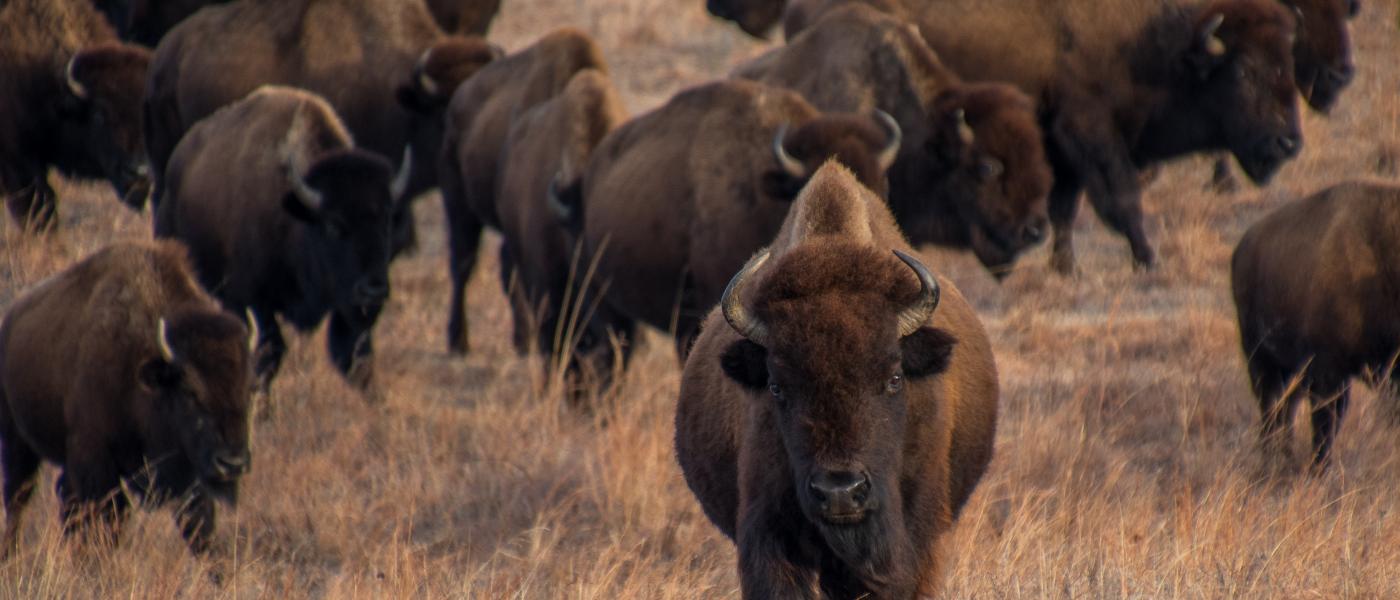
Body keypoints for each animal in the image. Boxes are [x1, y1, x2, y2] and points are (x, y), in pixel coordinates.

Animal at [0, 240, 255, 556]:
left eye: (249, 389)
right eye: (190, 391)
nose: (232, 463)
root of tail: (11, 317)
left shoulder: (191, 475)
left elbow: (199, 525)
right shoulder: (96, 461)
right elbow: (109, 520)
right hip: (18, 441)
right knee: (18, 498)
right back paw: (11, 553)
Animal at [155, 86, 409, 390]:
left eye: (386, 221)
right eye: (334, 224)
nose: (374, 290)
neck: (299, 215)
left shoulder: (345, 308)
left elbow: (355, 359)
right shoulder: (254, 299)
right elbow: (270, 352)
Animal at [1232, 180, 1400, 469]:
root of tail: (1243, 246)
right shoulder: (1328, 374)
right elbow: (1325, 425)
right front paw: (1319, 469)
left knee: (1285, 409)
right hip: (1260, 359)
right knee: (1271, 409)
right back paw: (1273, 460)